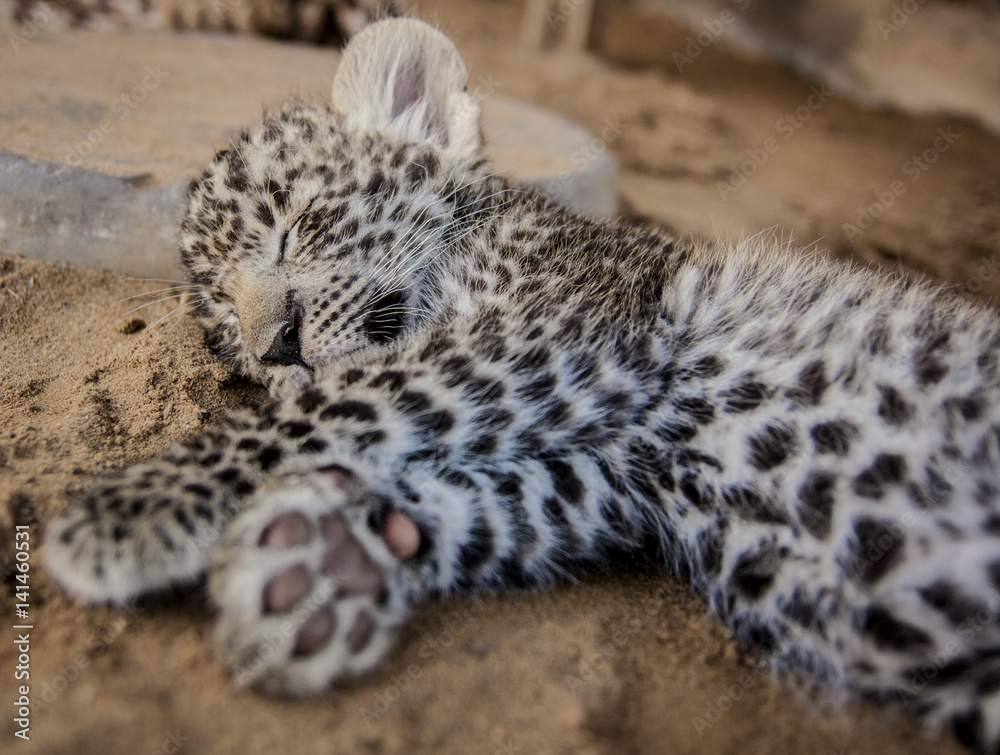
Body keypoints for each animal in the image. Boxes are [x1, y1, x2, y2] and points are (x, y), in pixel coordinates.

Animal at [42, 17, 1000, 753]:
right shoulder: (611, 476)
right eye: (222, 324)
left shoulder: (566, 329)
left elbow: (349, 402)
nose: (276, 345)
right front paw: (327, 564)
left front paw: (128, 512)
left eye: (298, 221)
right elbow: (488, 504)